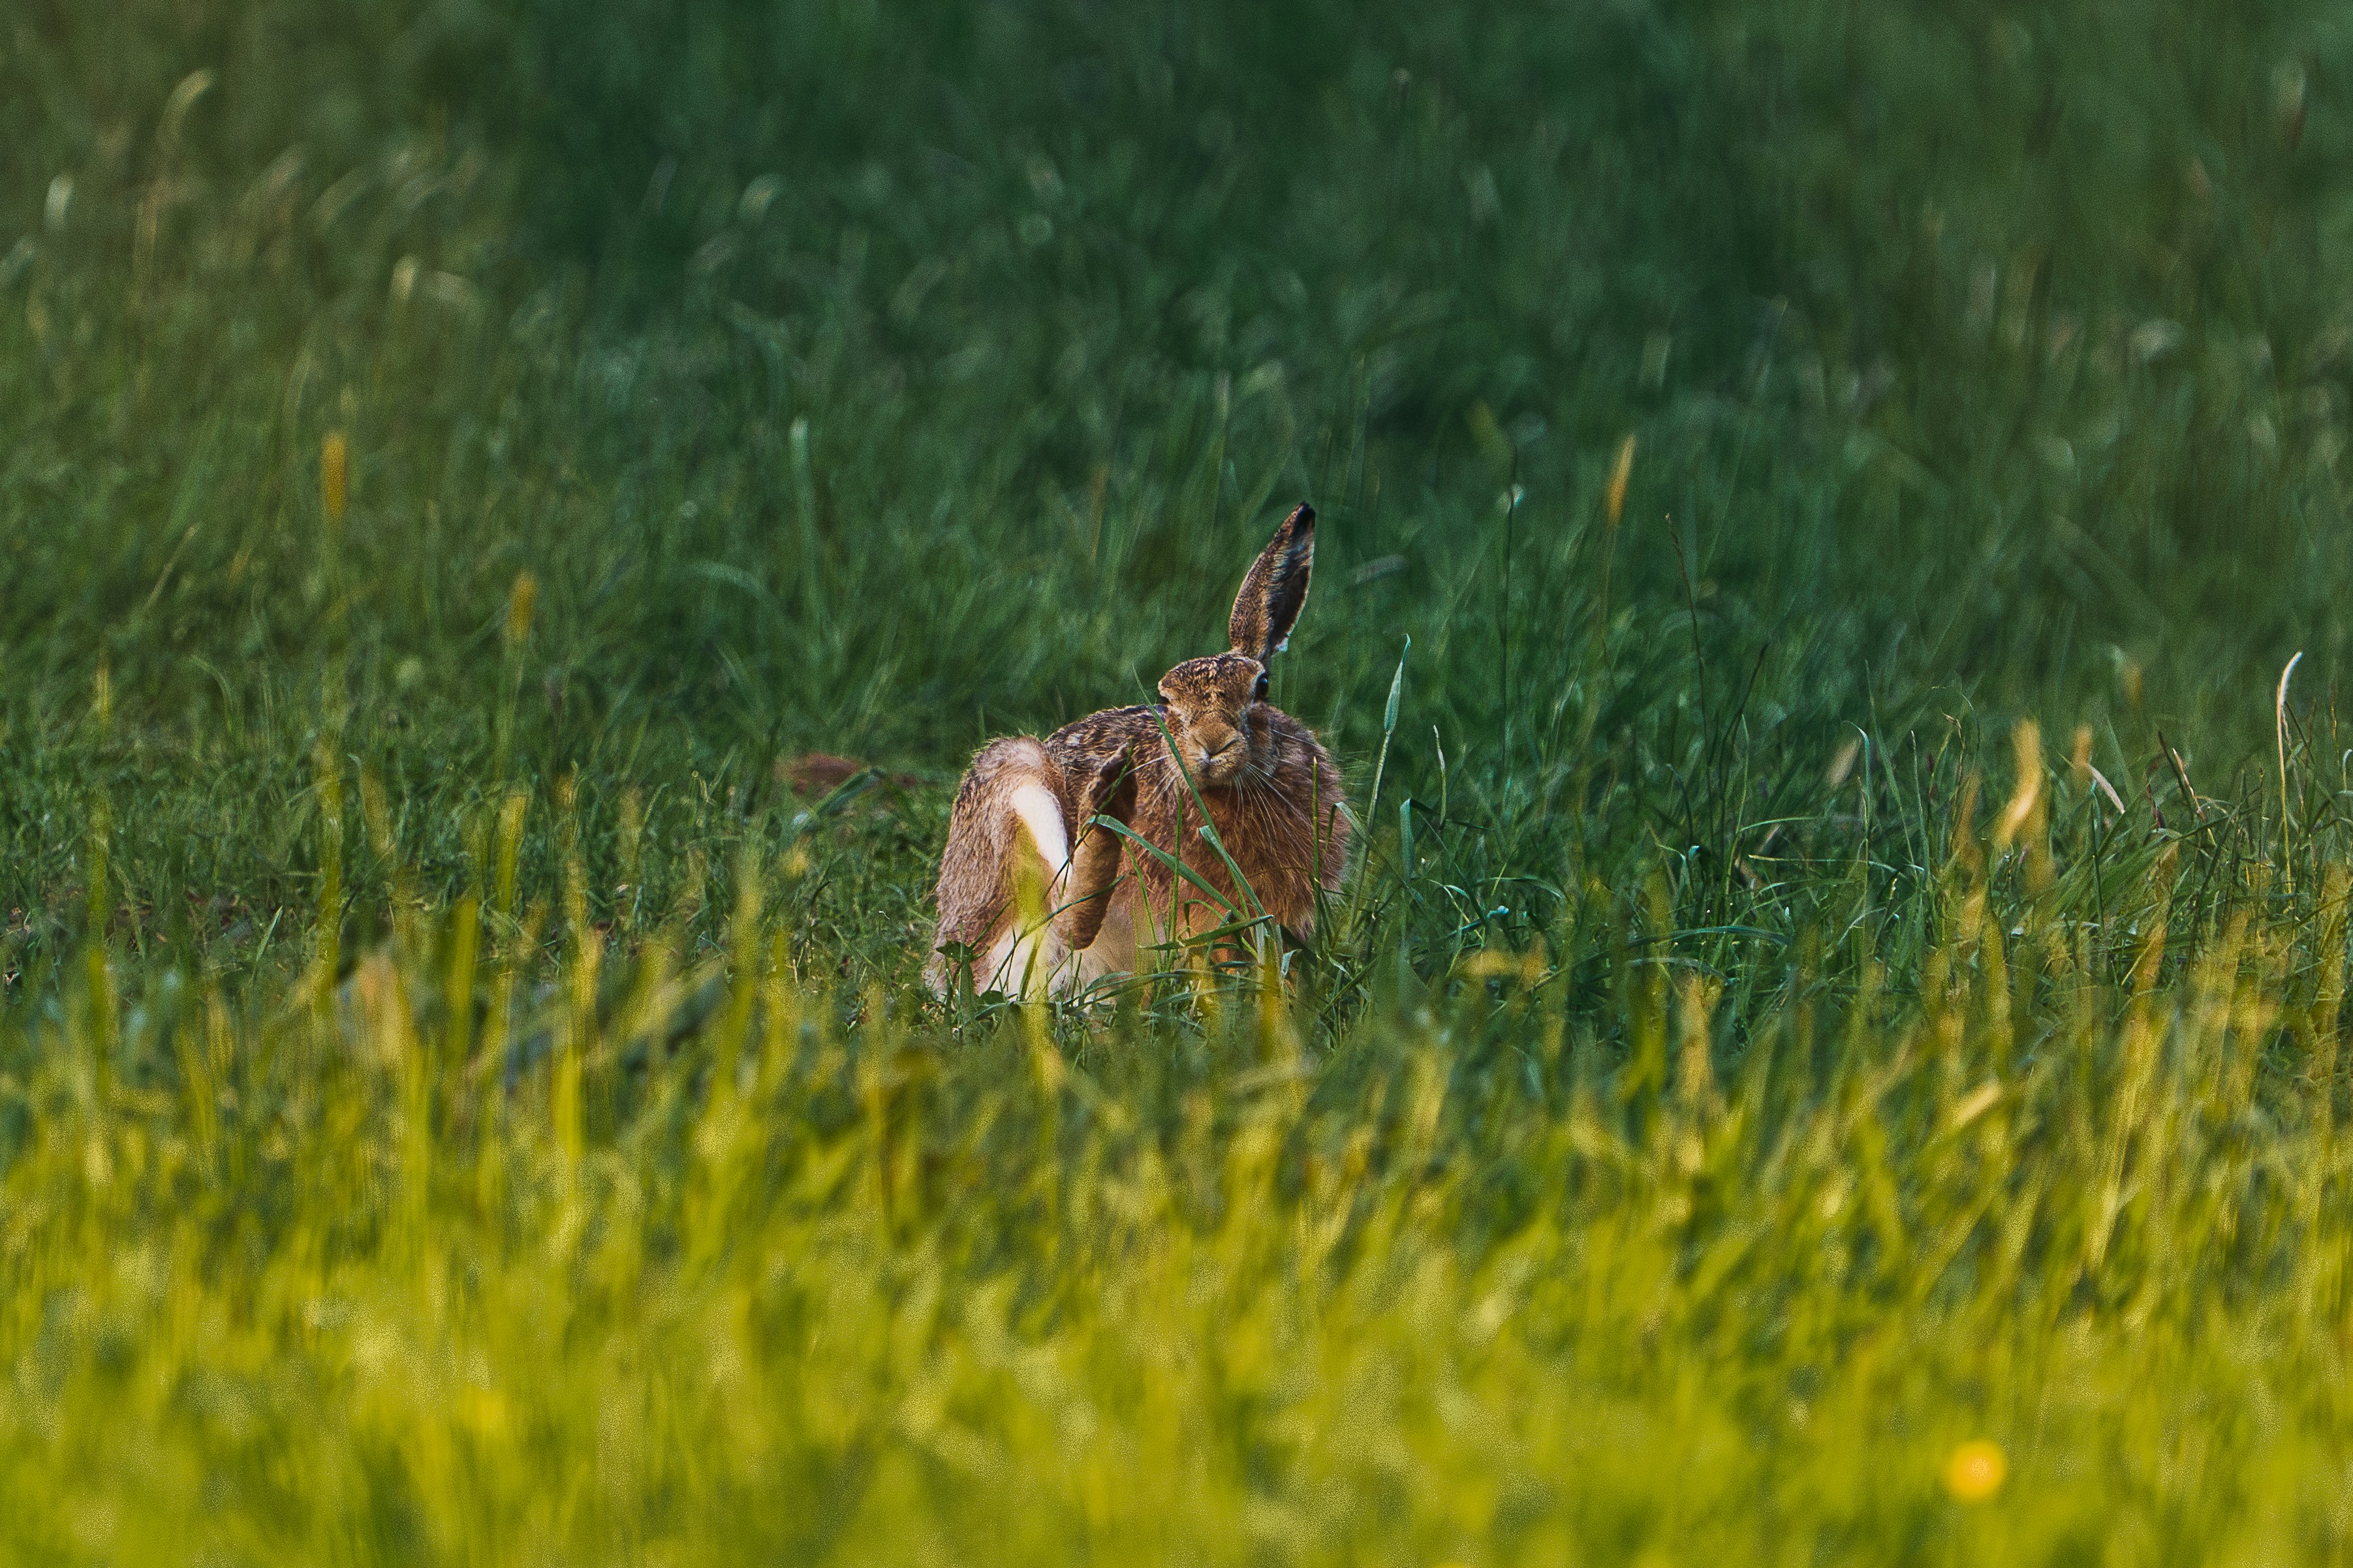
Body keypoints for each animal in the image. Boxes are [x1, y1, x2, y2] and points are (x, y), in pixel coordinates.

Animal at [926, 502, 1350, 1000]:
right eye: (1166, 699)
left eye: (1261, 687)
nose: (1211, 745)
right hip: (1012, 776)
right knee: (1062, 914)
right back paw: (1105, 806)